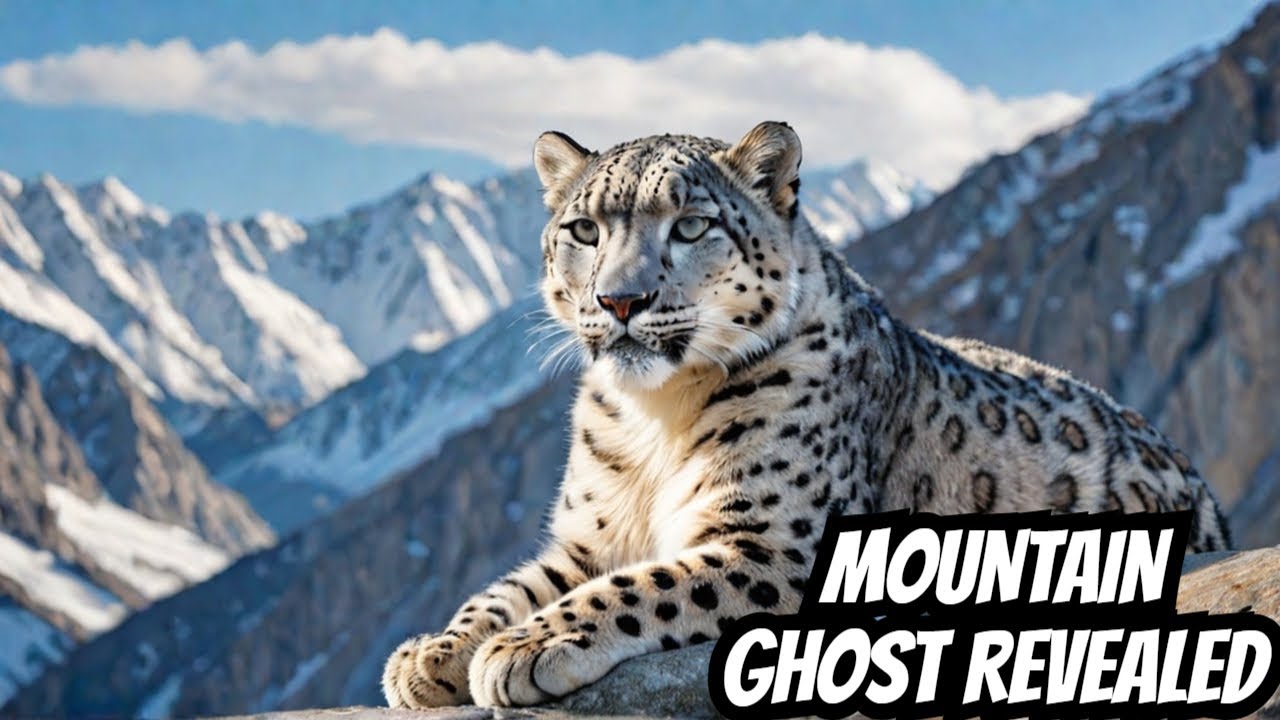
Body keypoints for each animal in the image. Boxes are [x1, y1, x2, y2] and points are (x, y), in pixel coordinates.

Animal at [383, 121, 1232, 709]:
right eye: (584, 230)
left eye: (691, 225)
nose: (620, 300)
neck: (654, 418)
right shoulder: (590, 535)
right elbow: (513, 586)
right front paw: (432, 655)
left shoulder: (773, 541)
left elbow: (639, 586)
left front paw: (525, 647)